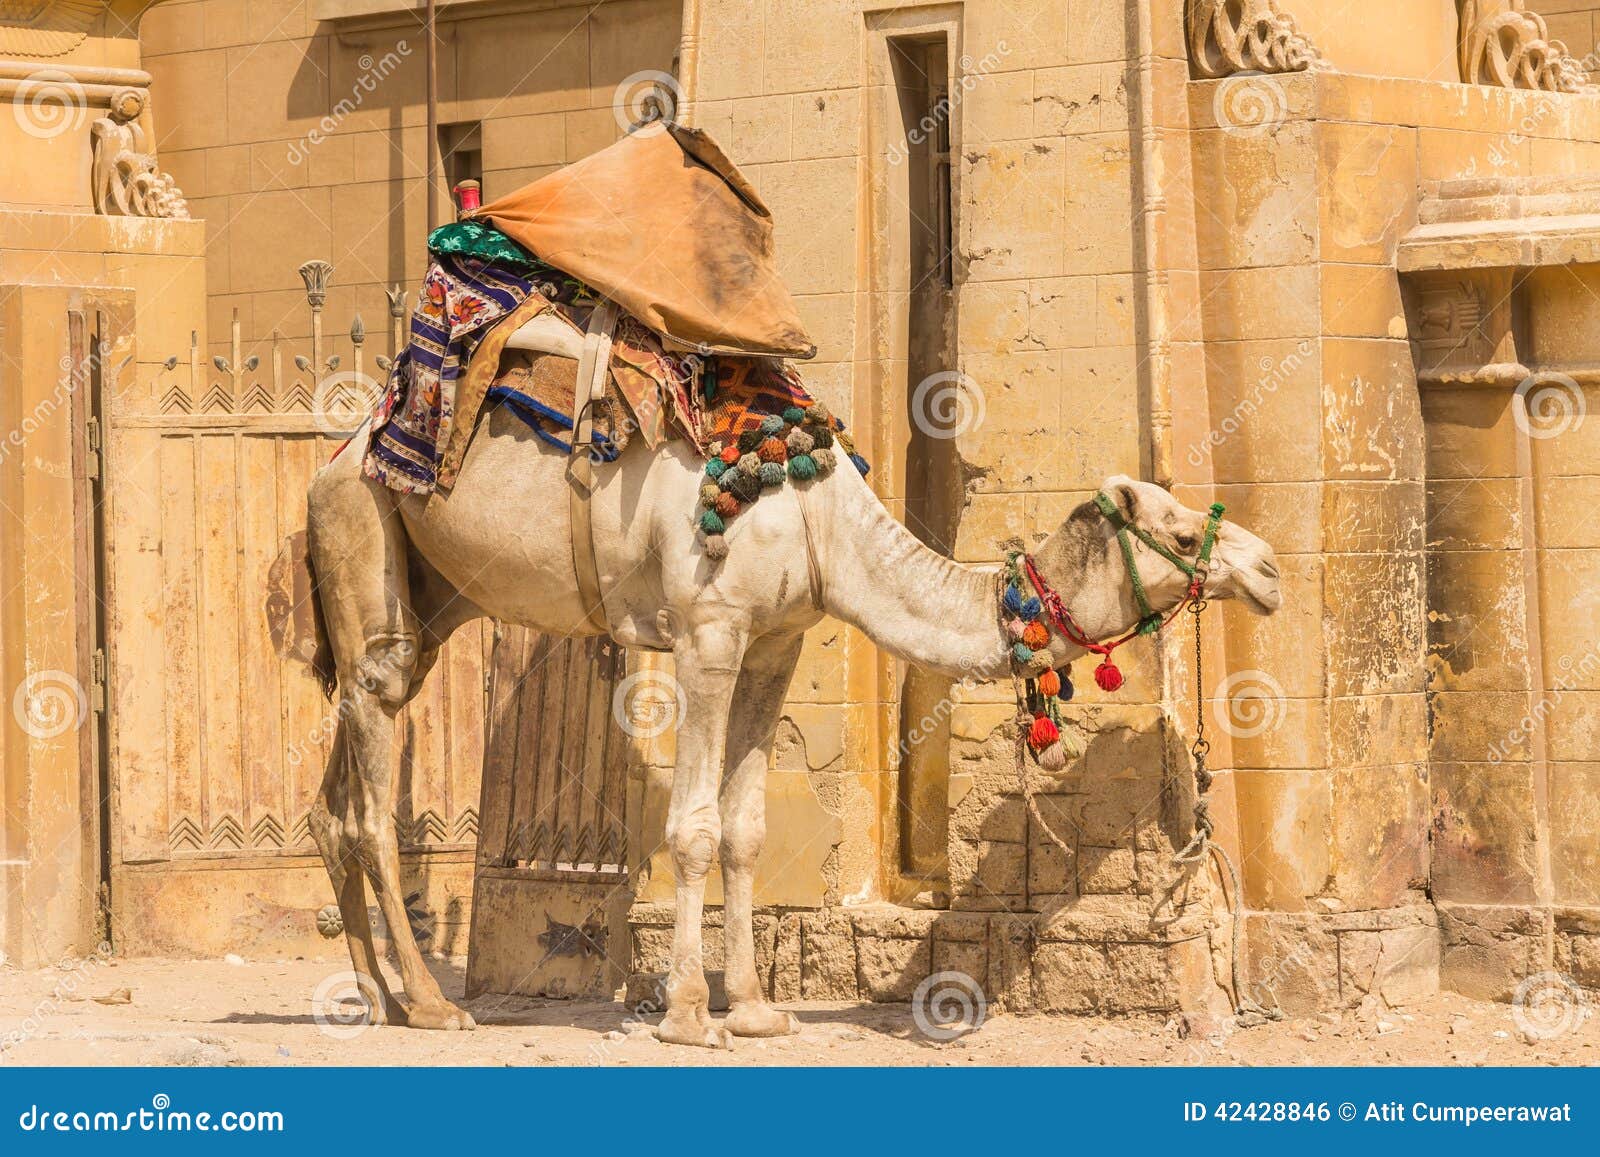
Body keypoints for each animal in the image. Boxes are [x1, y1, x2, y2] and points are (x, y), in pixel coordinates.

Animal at [305, 405, 1282, 1047]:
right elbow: (693, 828)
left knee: (335, 798)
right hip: (365, 534)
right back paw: (432, 1004)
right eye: (1180, 530)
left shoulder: (776, 638)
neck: (821, 521)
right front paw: (688, 1013)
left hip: (431, 597)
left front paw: (755, 1006)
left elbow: (745, 830)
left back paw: (375, 996)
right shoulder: (708, 627)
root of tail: (331, 460)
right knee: (371, 799)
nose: (1269, 568)